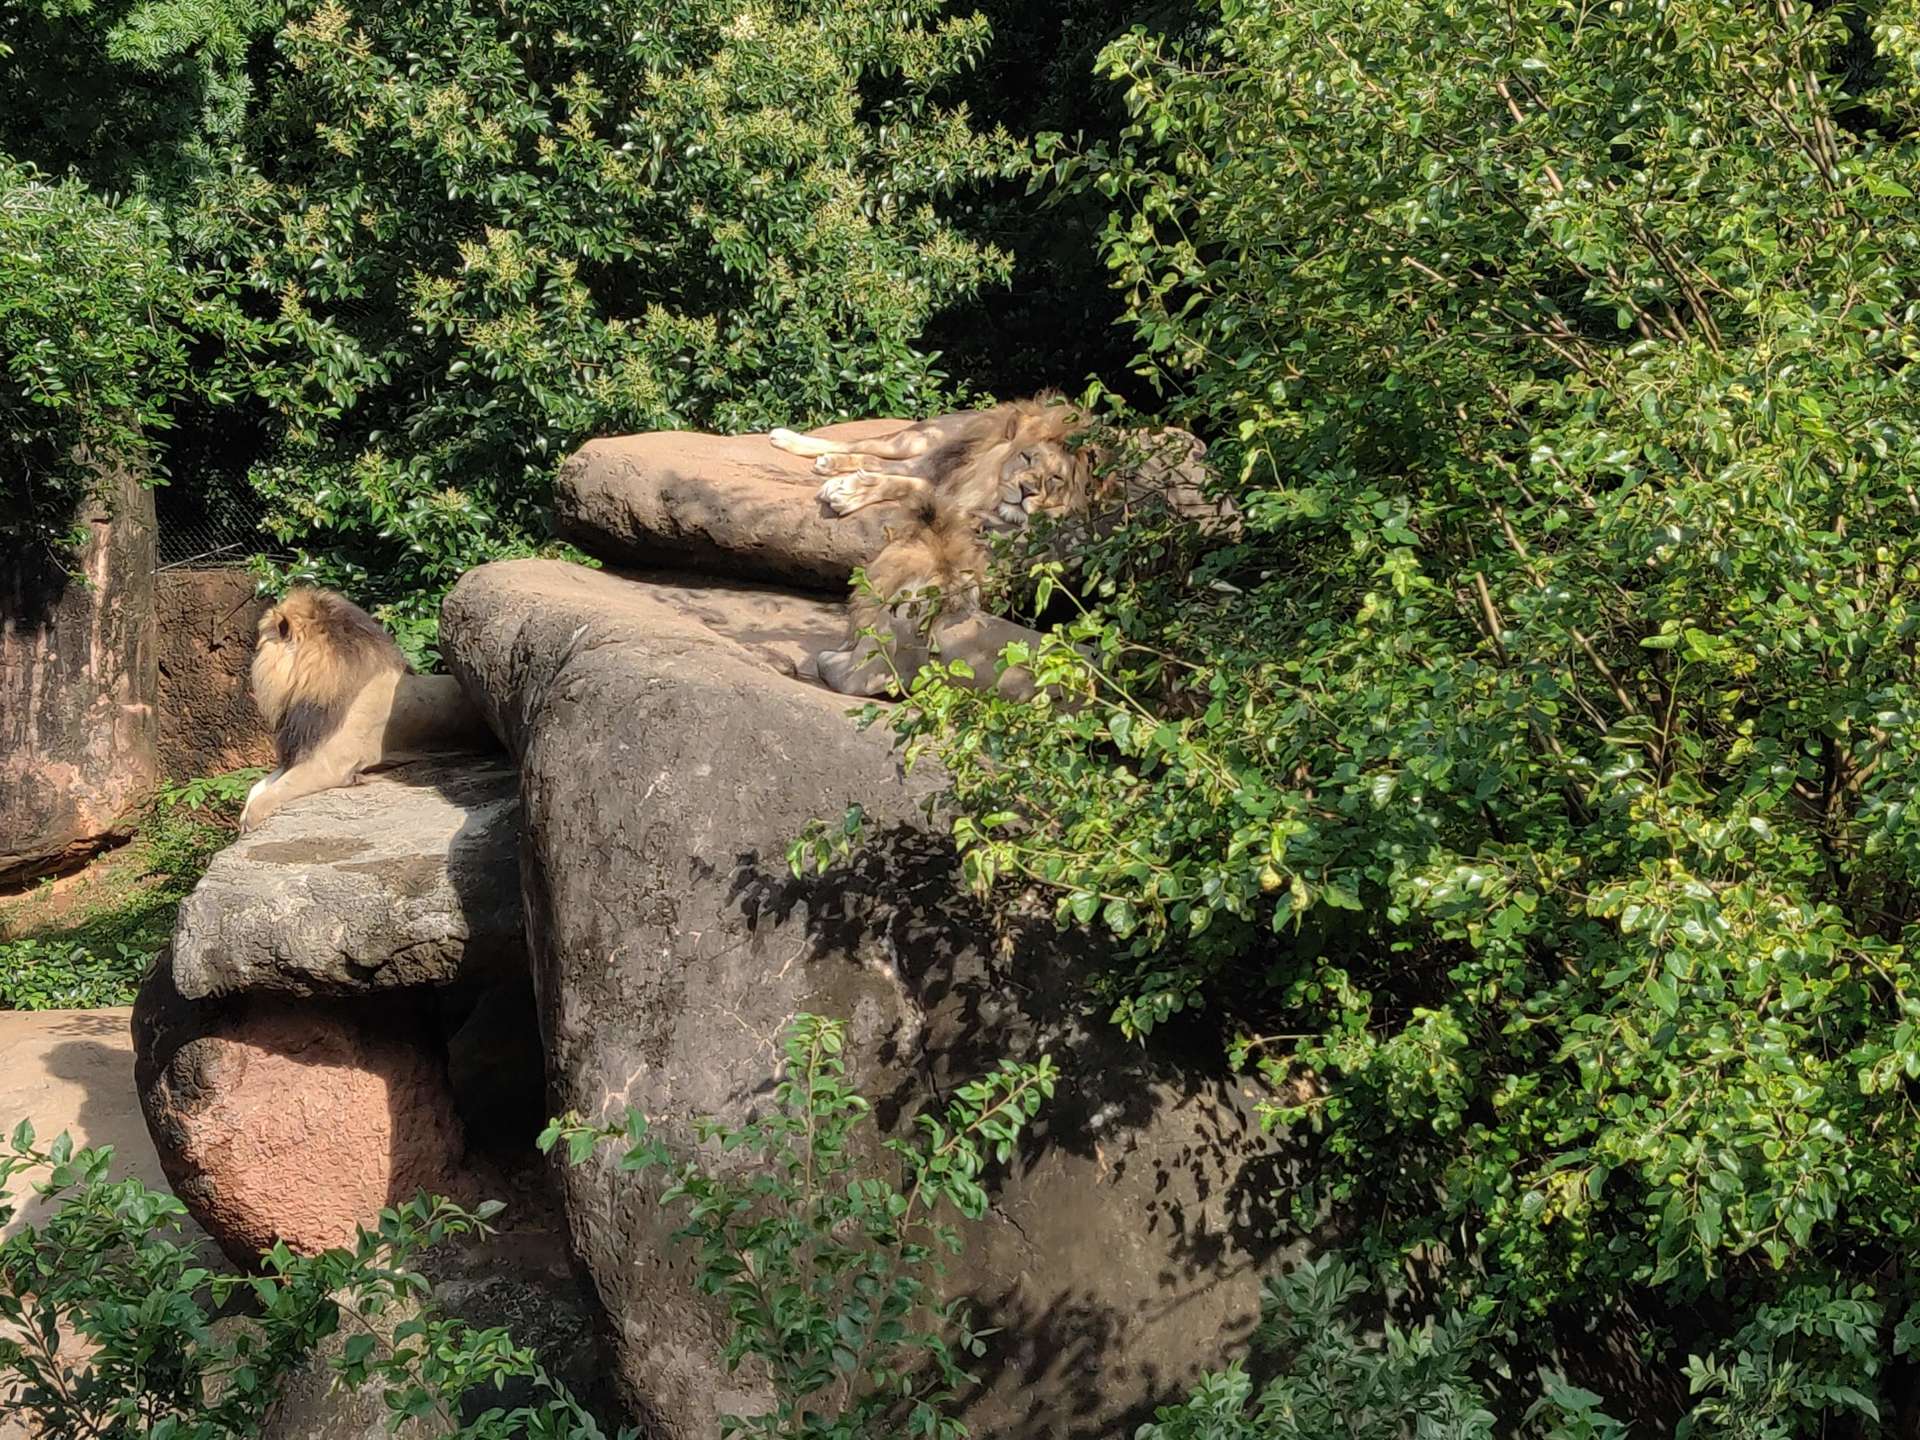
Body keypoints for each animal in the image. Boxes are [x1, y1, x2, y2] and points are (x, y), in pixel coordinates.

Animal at [239, 587, 491, 833]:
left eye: (264, 640)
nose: (254, 653)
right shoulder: (305, 750)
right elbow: (258, 787)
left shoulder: (327, 765)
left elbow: (271, 794)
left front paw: (248, 823)